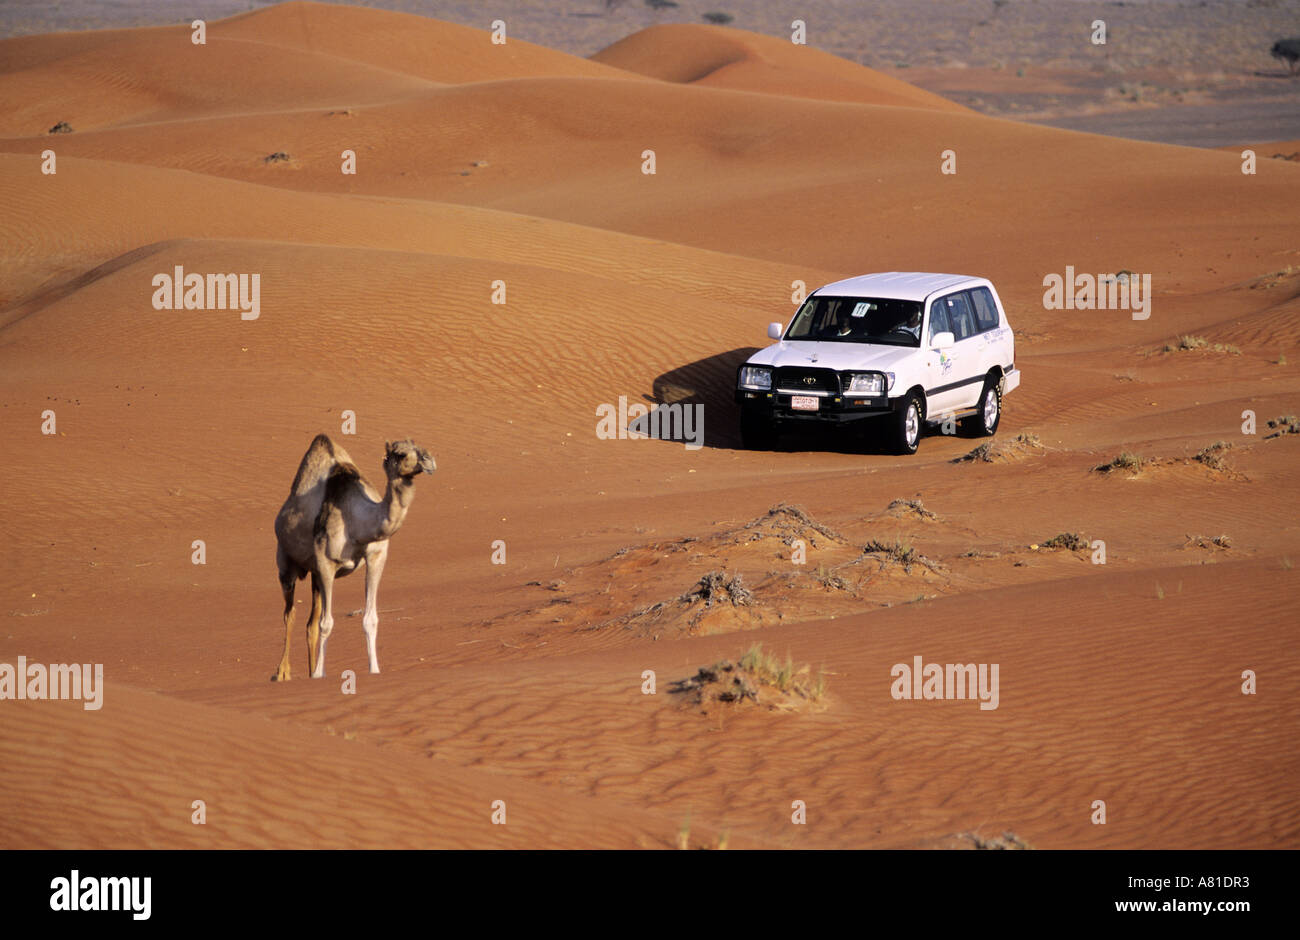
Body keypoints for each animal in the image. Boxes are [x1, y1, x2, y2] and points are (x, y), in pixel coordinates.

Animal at [272, 434, 436, 681]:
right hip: (285, 562)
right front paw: (320, 673)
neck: (356, 520)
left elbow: (370, 619)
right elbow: (326, 624)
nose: (430, 462)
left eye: (420, 447)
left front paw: (374, 669)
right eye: (399, 454)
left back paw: (309, 672)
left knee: (310, 622)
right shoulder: (325, 562)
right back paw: (283, 673)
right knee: (289, 613)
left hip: (314, 576)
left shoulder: (376, 556)